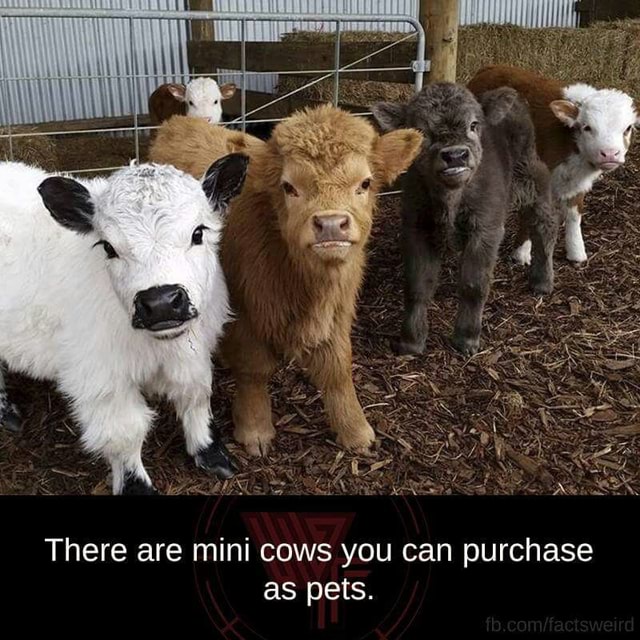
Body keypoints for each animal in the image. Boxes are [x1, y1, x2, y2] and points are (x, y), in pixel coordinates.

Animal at [0, 157, 248, 494]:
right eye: (108, 247)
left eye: (198, 233)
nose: (160, 301)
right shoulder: (102, 382)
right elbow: (125, 435)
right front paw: (135, 486)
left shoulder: (194, 353)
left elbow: (195, 395)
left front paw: (209, 451)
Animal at [150, 105, 423, 455]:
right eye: (289, 187)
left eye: (365, 183)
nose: (331, 223)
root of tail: (178, 123)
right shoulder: (245, 313)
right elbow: (254, 370)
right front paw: (254, 429)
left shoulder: (339, 311)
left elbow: (338, 369)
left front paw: (355, 430)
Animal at [372, 83, 557, 357]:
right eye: (422, 130)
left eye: (473, 124)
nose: (456, 155)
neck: (451, 199)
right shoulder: (417, 228)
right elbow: (417, 285)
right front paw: (411, 341)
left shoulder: (486, 229)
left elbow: (473, 285)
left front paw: (467, 338)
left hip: (532, 176)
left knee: (545, 223)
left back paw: (542, 280)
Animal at [468, 65, 639, 263]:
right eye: (587, 127)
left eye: (628, 128)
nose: (610, 154)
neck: (570, 142)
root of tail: (490, 68)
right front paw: (521, 253)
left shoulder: (579, 182)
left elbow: (574, 213)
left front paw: (576, 251)